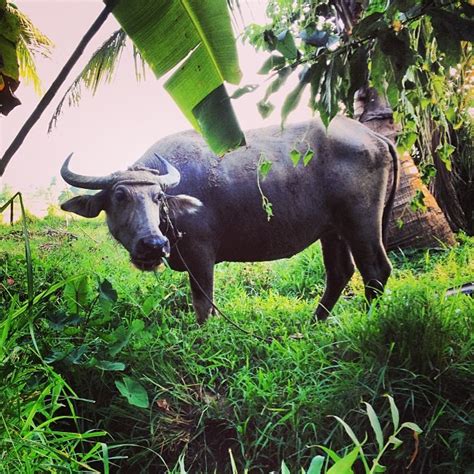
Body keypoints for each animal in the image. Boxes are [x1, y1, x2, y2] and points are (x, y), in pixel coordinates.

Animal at [61, 116, 398, 322]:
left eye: (158, 198)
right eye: (120, 196)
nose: (153, 244)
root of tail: (374, 136)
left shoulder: (200, 255)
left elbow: (203, 306)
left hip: (360, 221)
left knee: (375, 270)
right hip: (332, 230)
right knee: (340, 273)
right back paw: (312, 323)